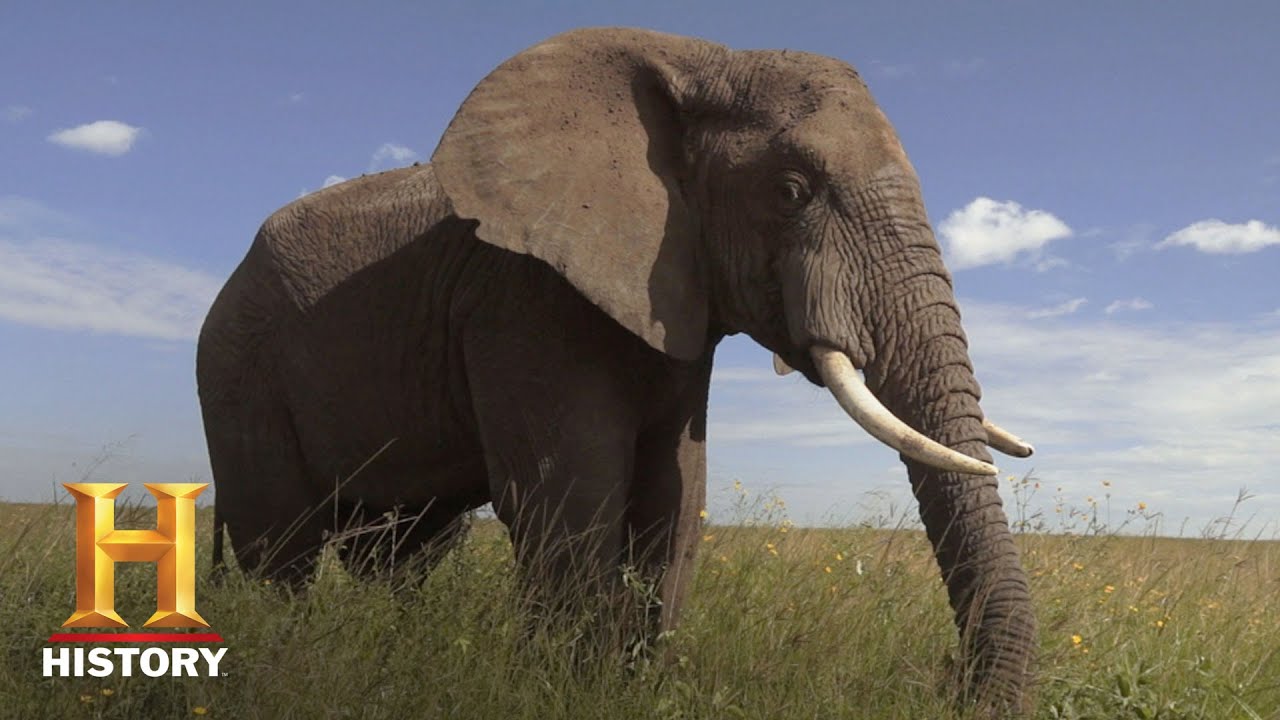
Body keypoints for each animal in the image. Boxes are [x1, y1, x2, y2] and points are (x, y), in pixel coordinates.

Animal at [197, 27, 1037, 711]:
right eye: (791, 192)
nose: (953, 685)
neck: (702, 61)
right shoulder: (524, 301)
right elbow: (571, 497)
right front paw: (564, 693)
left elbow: (676, 494)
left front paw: (633, 688)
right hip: (238, 369)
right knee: (284, 547)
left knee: (405, 551)